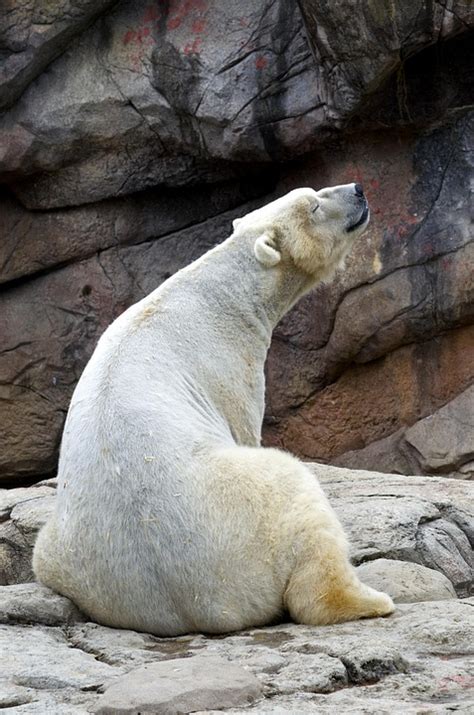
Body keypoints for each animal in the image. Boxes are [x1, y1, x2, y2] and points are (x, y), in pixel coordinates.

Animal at [33, 183, 394, 636]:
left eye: (314, 193)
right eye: (313, 205)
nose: (358, 191)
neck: (218, 293)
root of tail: (191, 607)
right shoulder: (229, 366)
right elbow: (245, 424)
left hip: (62, 553)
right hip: (252, 521)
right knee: (300, 508)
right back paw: (371, 599)